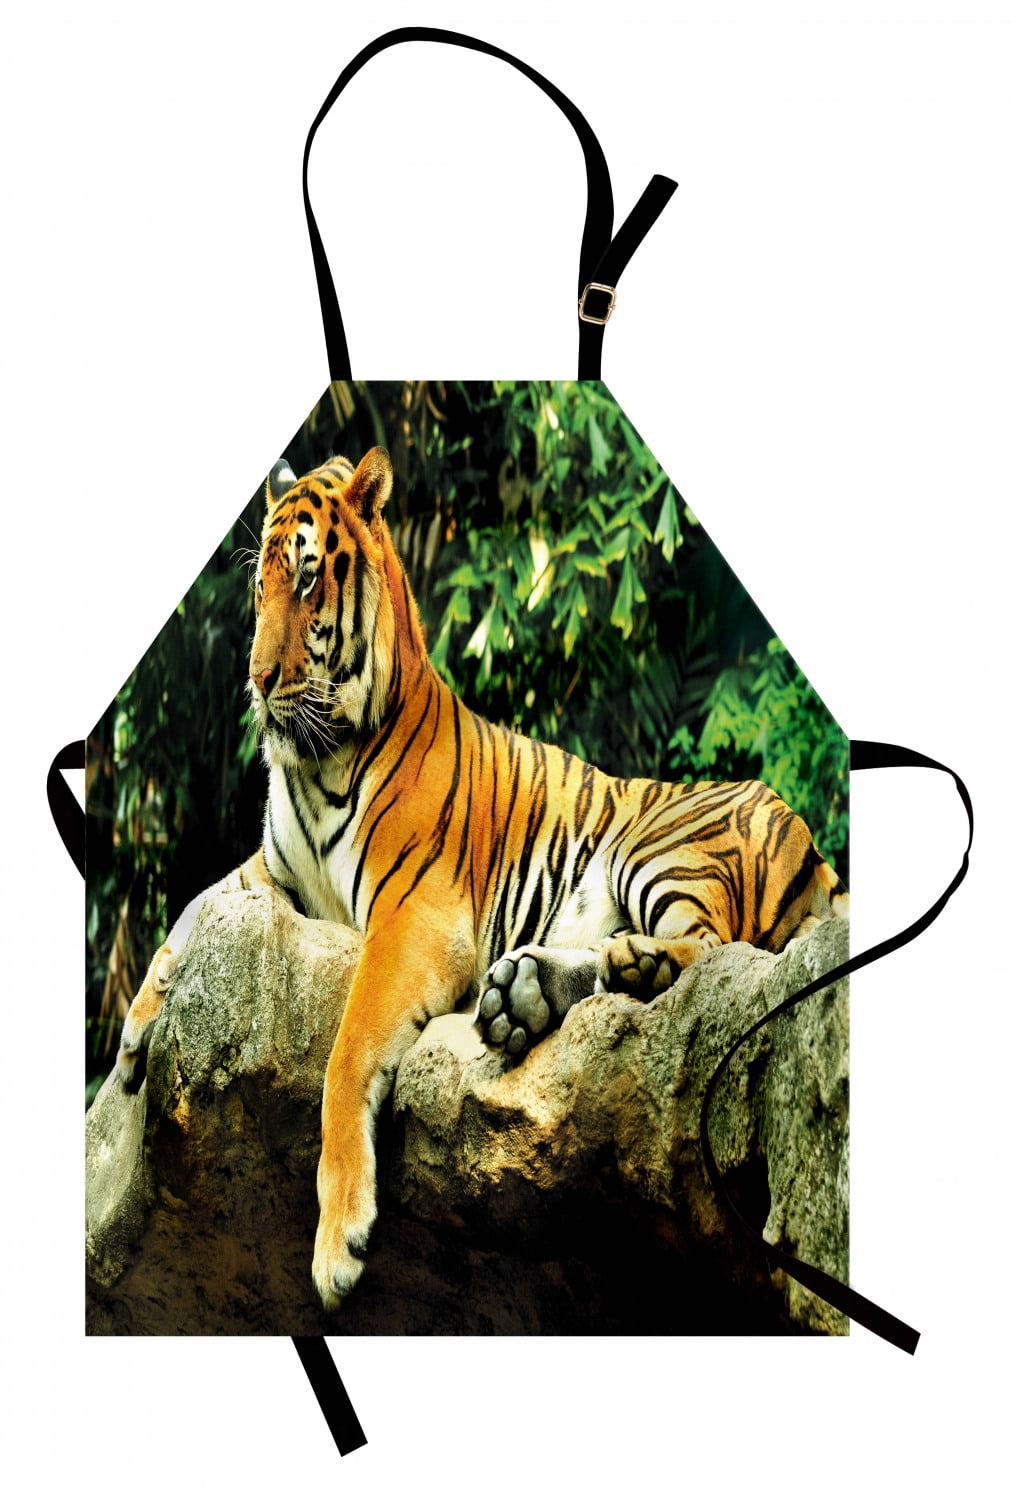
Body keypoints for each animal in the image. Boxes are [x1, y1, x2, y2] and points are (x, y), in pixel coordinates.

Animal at [116, 446, 848, 1312]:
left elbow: (346, 1051)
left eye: (305, 579)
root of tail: (804, 832)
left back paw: (619, 969)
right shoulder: (269, 872)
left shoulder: (414, 915)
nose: (258, 682)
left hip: (661, 849)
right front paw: (134, 1032)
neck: (314, 761)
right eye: (259, 586)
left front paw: (337, 1245)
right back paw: (526, 994)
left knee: (715, 949)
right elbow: (190, 912)